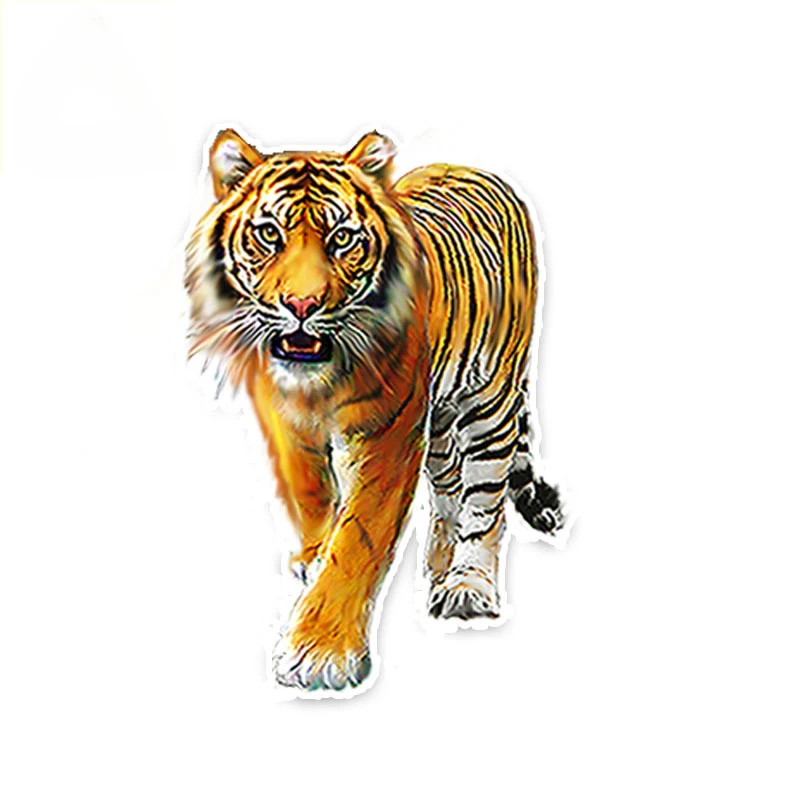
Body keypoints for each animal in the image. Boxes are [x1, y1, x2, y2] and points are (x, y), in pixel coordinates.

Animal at [185, 129, 566, 692]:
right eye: (269, 233)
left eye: (342, 238)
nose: (302, 306)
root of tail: (475, 168)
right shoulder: (283, 419)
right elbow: (308, 495)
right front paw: (314, 556)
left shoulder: (390, 434)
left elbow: (359, 537)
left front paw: (321, 652)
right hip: (442, 417)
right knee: (448, 489)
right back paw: (437, 564)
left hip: (489, 402)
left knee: (484, 501)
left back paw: (467, 586)